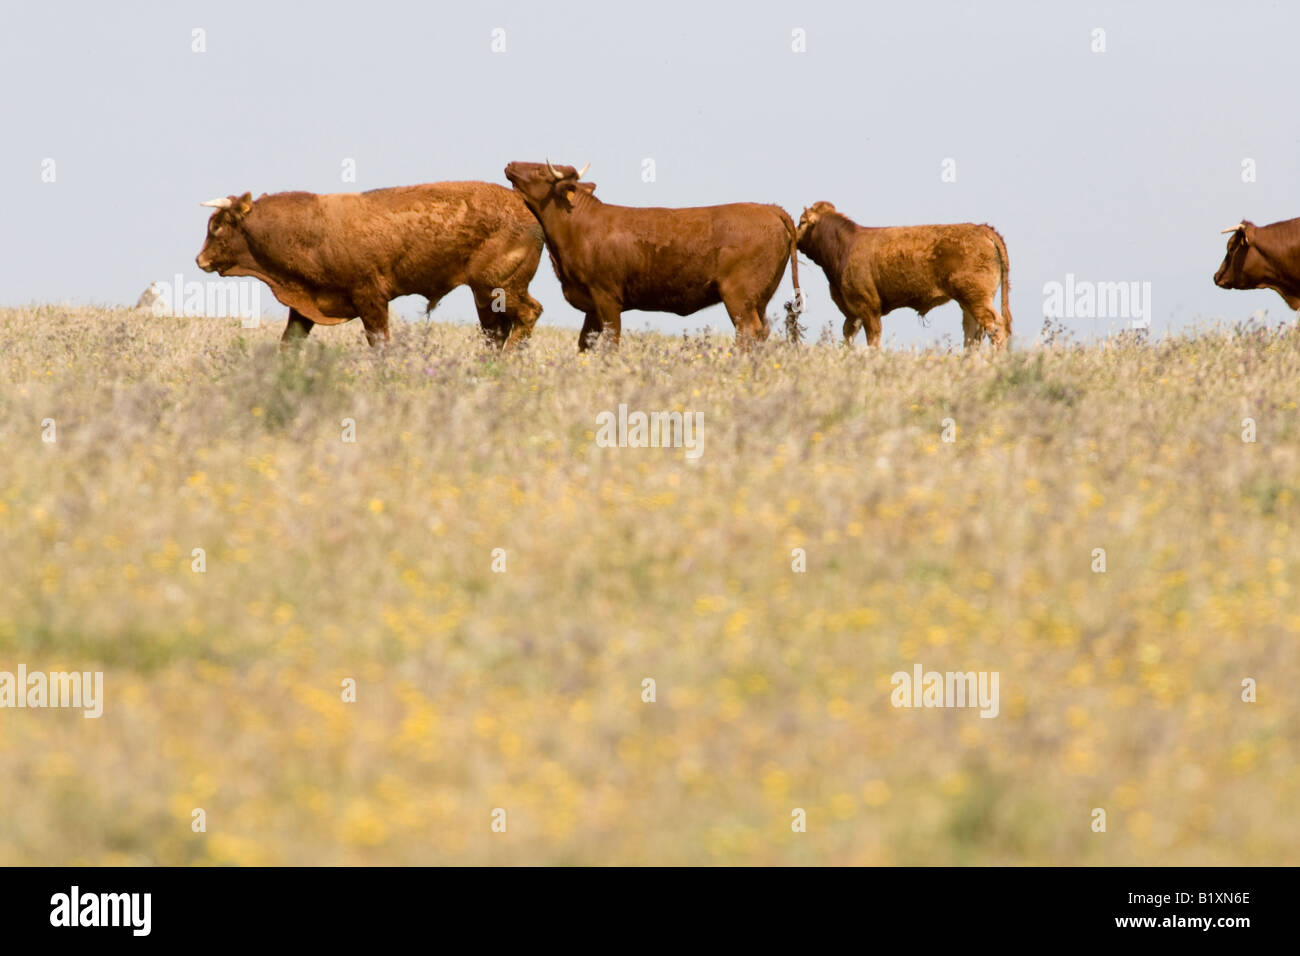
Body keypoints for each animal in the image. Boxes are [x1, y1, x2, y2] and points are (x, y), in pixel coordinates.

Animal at [194, 182, 545, 349]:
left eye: (218, 227)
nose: (200, 260)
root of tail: (523, 206)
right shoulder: (304, 308)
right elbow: (288, 344)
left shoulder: (370, 298)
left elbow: (380, 345)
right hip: (485, 297)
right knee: (495, 333)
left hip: (498, 286)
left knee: (529, 313)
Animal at [504, 161, 802, 350]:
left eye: (540, 169)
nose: (509, 164)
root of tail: (769, 208)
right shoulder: (591, 304)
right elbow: (585, 344)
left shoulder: (607, 297)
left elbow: (611, 342)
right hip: (759, 299)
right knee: (761, 332)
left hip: (739, 296)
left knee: (748, 332)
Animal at [794, 201, 1012, 349]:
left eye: (802, 222)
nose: (794, 238)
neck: (844, 249)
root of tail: (982, 228)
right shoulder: (852, 313)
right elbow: (848, 339)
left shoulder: (868, 307)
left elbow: (874, 342)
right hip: (969, 302)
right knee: (973, 335)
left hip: (976, 298)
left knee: (996, 327)